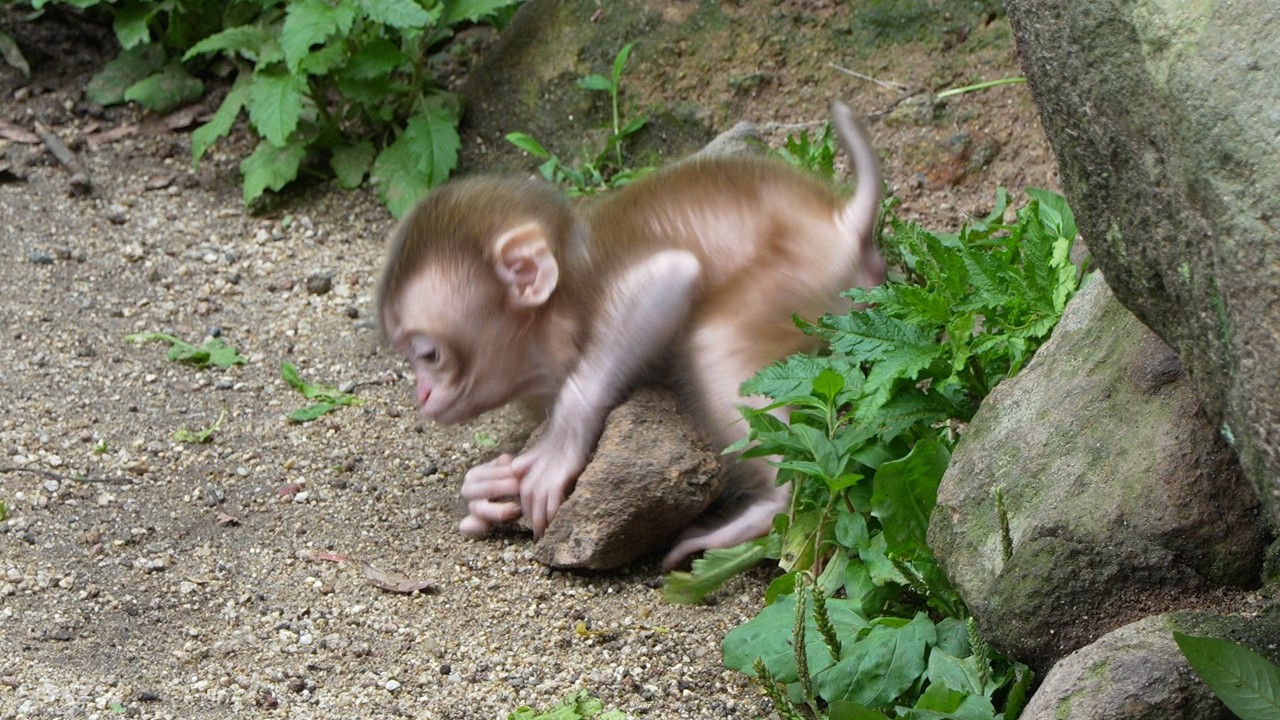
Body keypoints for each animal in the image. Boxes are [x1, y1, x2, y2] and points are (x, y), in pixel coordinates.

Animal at [377, 100, 884, 569]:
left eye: (429, 355)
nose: (423, 395)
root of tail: (841, 223)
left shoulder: (581, 307)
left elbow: (669, 276)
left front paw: (558, 447)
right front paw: (483, 489)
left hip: (795, 281)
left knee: (712, 341)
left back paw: (766, 509)